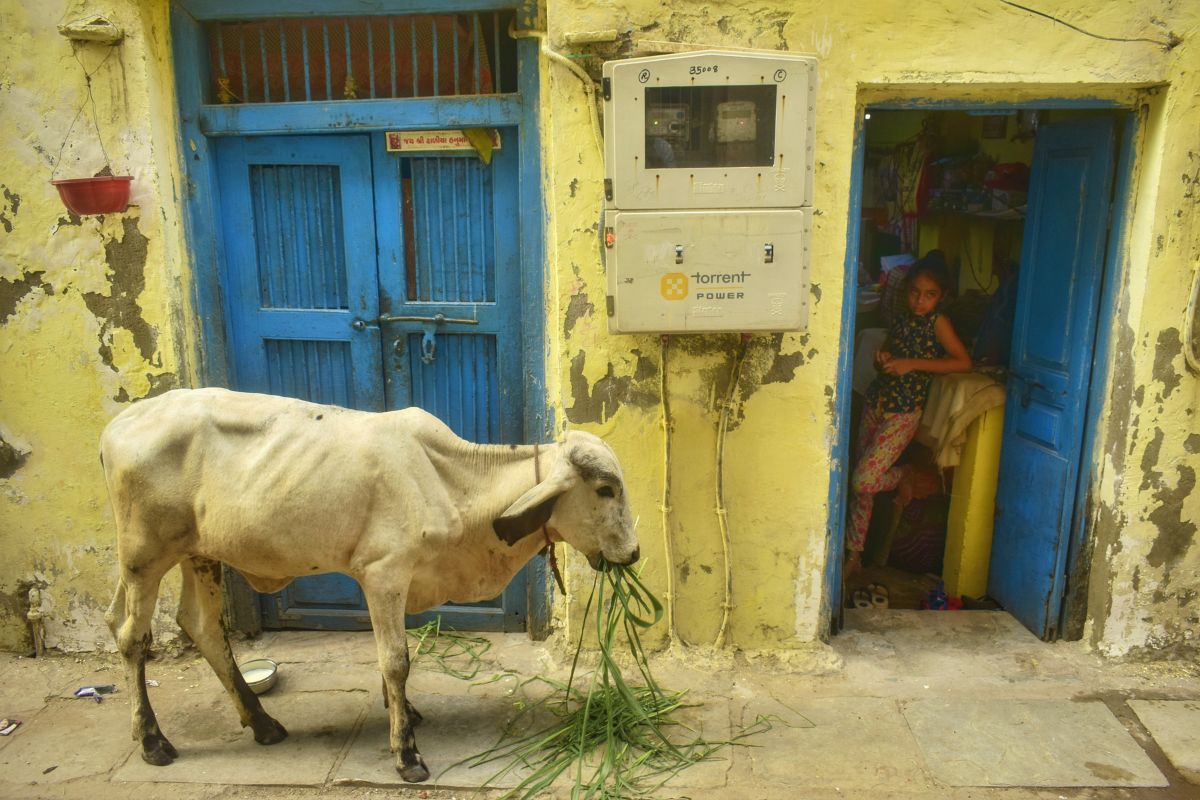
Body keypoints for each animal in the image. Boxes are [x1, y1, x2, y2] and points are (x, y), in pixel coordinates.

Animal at [99, 388, 639, 782]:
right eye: (605, 488)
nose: (633, 554)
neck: (449, 481)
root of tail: (116, 427)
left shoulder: (396, 580)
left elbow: (392, 660)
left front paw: (404, 713)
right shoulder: (383, 573)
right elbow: (396, 660)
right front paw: (406, 754)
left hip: (197, 554)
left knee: (200, 626)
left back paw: (263, 723)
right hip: (144, 556)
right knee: (131, 637)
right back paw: (152, 740)